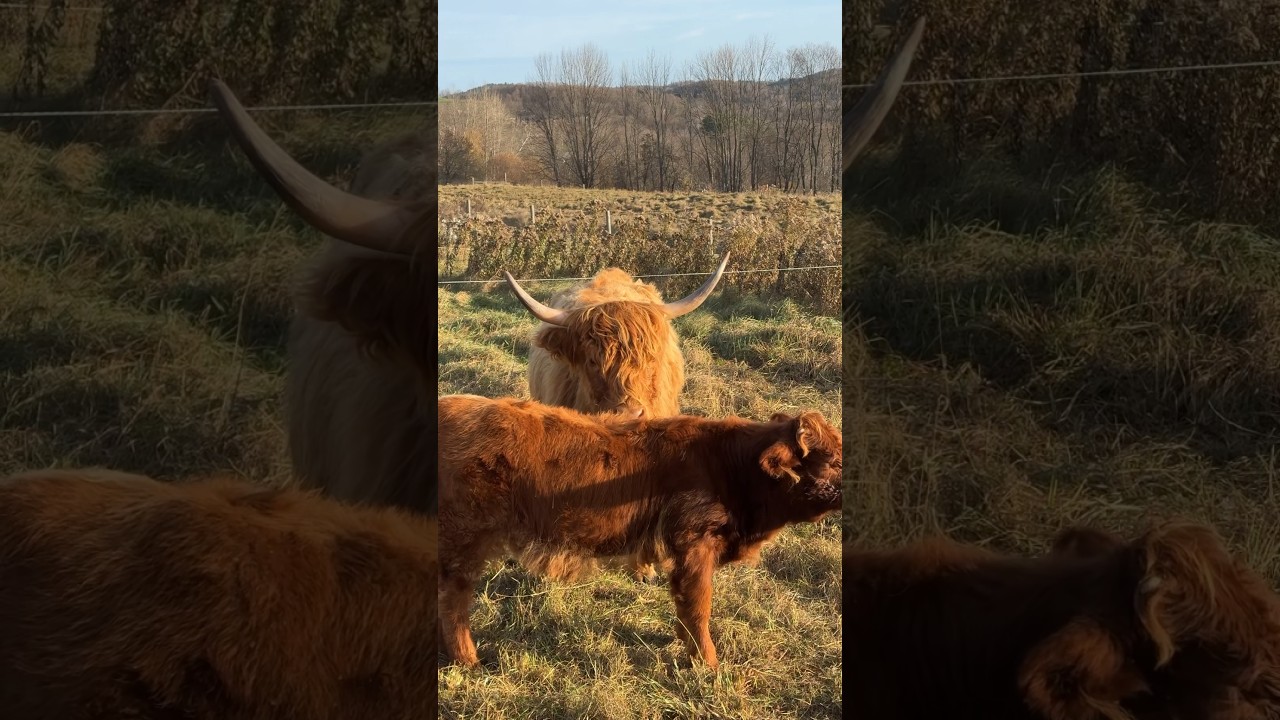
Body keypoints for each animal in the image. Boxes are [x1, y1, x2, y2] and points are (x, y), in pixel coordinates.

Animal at [436, 394, 842, 670]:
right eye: (835, 461)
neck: (729, 465)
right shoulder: (694, 544)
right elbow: (698, 606)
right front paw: (708, 663)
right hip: (463, 542)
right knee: (454, 601)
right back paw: (469, 659)